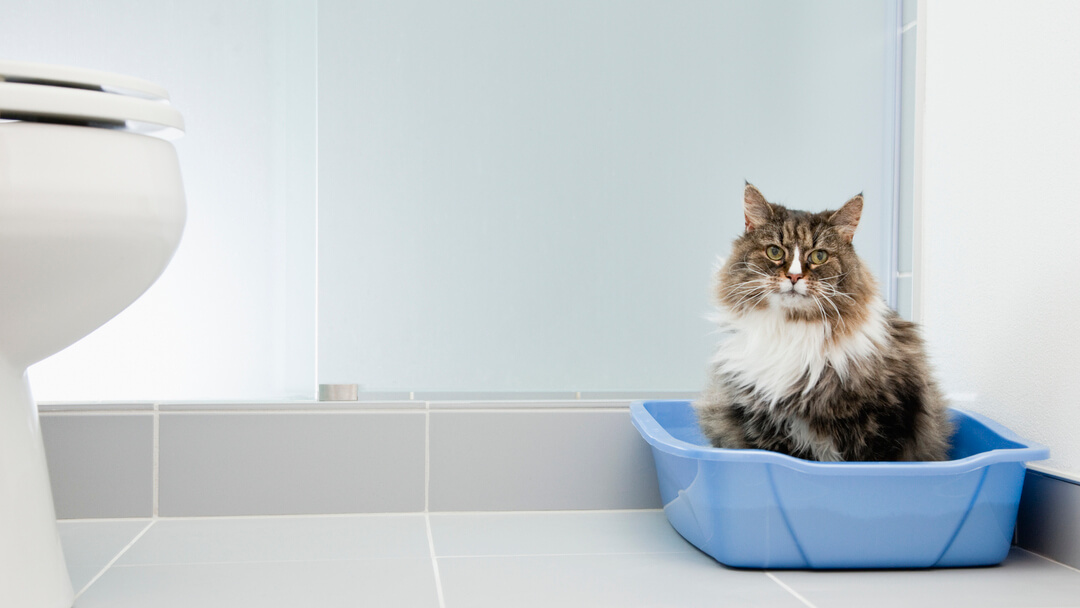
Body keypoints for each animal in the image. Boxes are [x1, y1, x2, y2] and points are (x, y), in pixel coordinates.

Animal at [695, 184, 950, 462]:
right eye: (775, 252)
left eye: (819, 256)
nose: (794, 276)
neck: (792, 330)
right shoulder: (764, 424)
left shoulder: (885, 423)